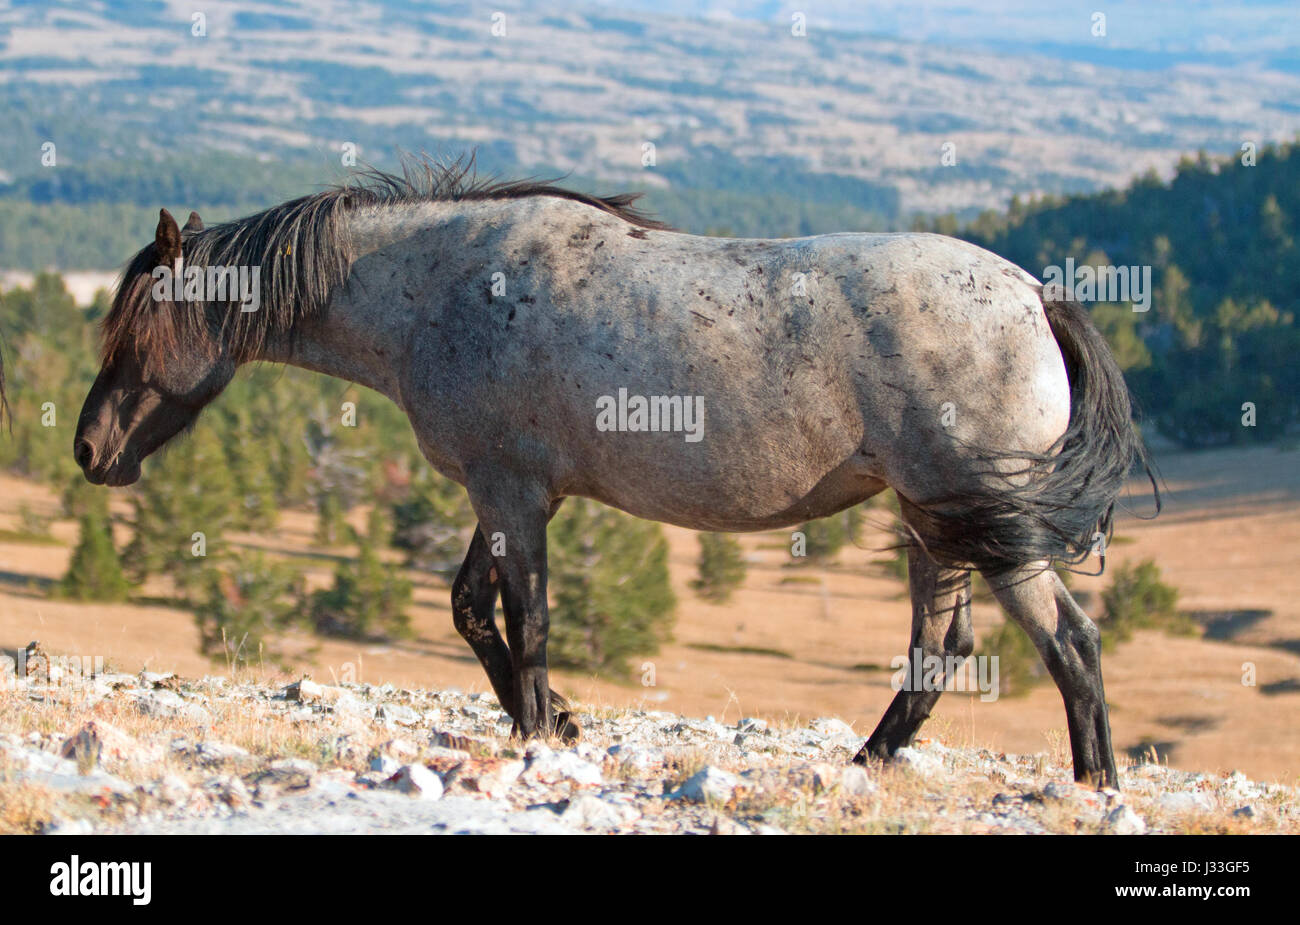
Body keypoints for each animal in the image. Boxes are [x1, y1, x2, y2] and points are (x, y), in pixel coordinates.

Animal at [74, 158, 1156, 787]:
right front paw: (559, 720)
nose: (87, 449)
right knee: (942, 648)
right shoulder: (510, 492)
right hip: (936, 525)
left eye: (137, 327)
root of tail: (1036, 297)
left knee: (1069, 643)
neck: (445, 286)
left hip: (978, 524)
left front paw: (539, 731)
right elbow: (473, 610)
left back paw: (1096, 786)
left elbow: (526, 618)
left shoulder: (510, 493)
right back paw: (866, 765)